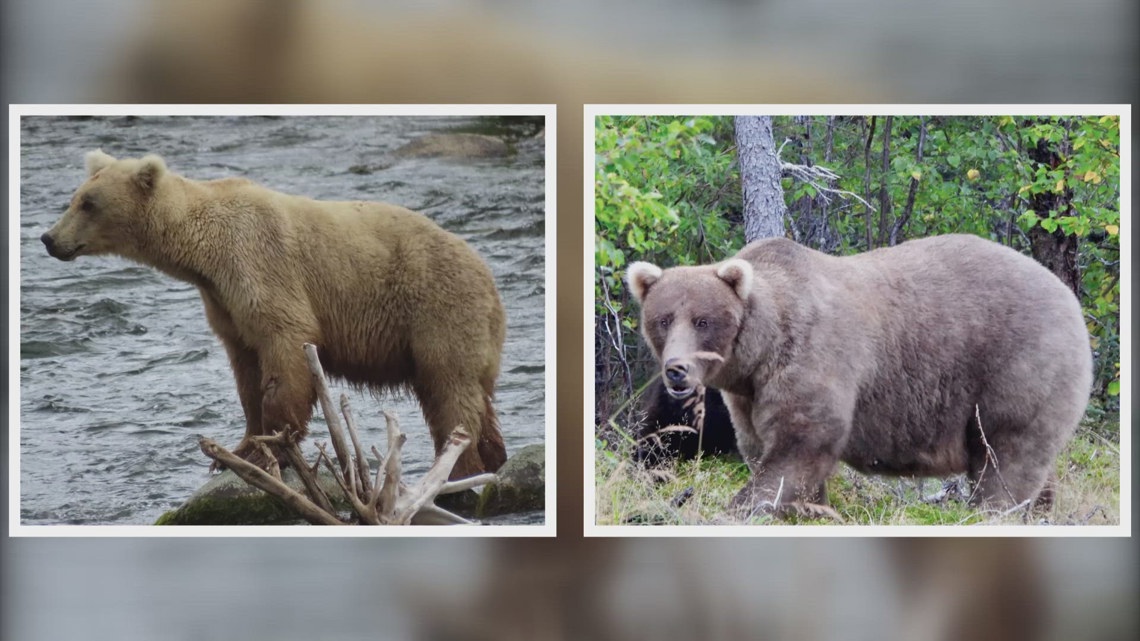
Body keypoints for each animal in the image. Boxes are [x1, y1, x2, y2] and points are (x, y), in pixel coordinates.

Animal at [41, 150, 508, 480]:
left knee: (450, 390)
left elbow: (284, 349)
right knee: (474, 397)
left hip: (438, 310)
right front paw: (236, 449)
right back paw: (493, 456)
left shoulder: (259, 266)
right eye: (74, 198)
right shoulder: (224, 304)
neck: (203, 254)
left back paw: (460, 466)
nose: (49, 238)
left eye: (88, 203)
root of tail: (488, 277)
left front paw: (272, 447)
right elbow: (246, 371)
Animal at [626, 234, 1091, 519]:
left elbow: (800, 443)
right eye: (663, 319)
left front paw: (746, 506)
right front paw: (810, 509)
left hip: (1016, 366)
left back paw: (992, 512)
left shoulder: (812, 356)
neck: (759, 351)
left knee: (1005, 459)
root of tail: (1069, 296)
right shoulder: (748, 394)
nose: (677, 370)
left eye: (703, 320)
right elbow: (759, 445)